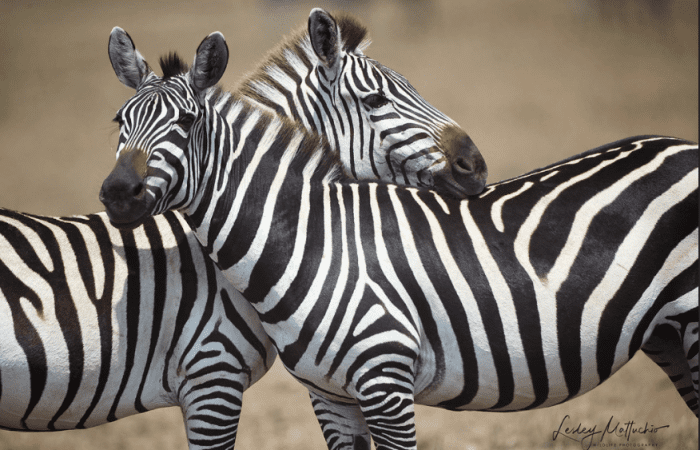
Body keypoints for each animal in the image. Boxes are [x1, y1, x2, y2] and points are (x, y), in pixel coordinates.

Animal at [98, 24, 698, 450]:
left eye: (186, 123)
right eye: (119, 122)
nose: (117, 194)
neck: (316, 238)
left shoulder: (384, 384)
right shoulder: (331, 399)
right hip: (667, 334)